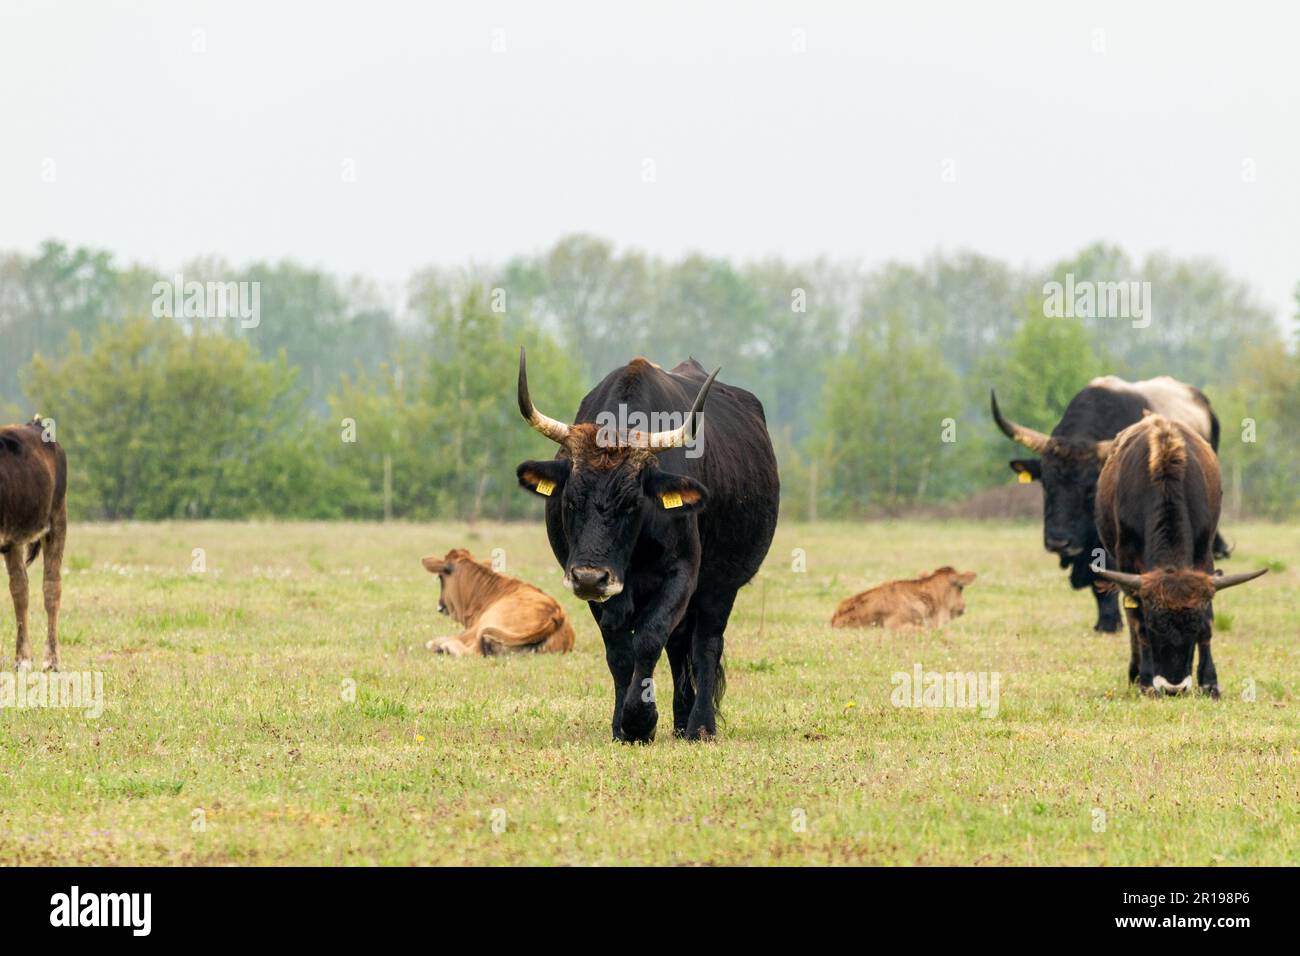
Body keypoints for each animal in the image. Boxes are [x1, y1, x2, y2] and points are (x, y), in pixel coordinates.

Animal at [0, 416, 68, 671]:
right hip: (13, 540)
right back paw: (23, 658)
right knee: (20, 588)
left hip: (57, 519)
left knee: (52, 587)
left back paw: (52, 659)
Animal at [421, 548, 575, 656]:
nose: (440, 606)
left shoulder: (470, 631)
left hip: (486, 623)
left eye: (440, 577)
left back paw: (445, 648)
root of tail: (556, 614)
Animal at [514, 348, 779, 742]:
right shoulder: (604, 595)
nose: (589, 577)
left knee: (704, 645)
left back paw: (700, 725)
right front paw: (622, 726)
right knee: (679, 645)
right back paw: (681, 719)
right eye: (570, 501)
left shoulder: (682, 575)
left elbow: (650, 639)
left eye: (632, 502)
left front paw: (640, 719)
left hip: (719, 587)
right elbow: (620, 651)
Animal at [1093, 414, 1266, 697]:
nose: (1173, 687)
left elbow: (1209, 624)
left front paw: (1209, 682)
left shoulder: (1204, 554)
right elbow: (1137, 622)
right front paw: (1145, 680)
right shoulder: (1126, 560)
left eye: (1193, 626)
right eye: (1154, 624)